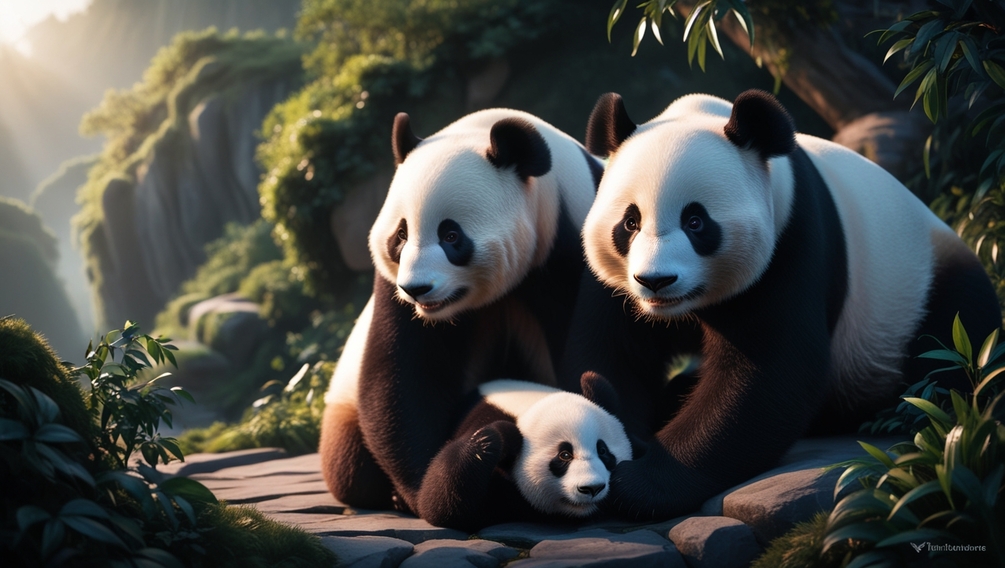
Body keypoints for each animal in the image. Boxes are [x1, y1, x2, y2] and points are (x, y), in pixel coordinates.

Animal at [319, 108, 602, 514]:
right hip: (343, 404)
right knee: (351, 465)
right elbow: (406, 371)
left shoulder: (575, 253)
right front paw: (425, 489)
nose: (417, 288)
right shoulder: (393, 290)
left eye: (451, 236)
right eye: (400, 235)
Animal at [417, 372, 632, 531]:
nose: (592, 488)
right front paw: (501, 434)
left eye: (603, 450)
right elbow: (441, 502)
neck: (531, 406)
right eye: (564, 455)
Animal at [558, 89, 1001, 521]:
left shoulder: (793, 239)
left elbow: (769, 371)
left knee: (948, 353)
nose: (656, 280)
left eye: (696, 222)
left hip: (921, 298)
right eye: (630, 223)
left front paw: (640, 484)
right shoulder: (615, 282)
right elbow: (612, 351)